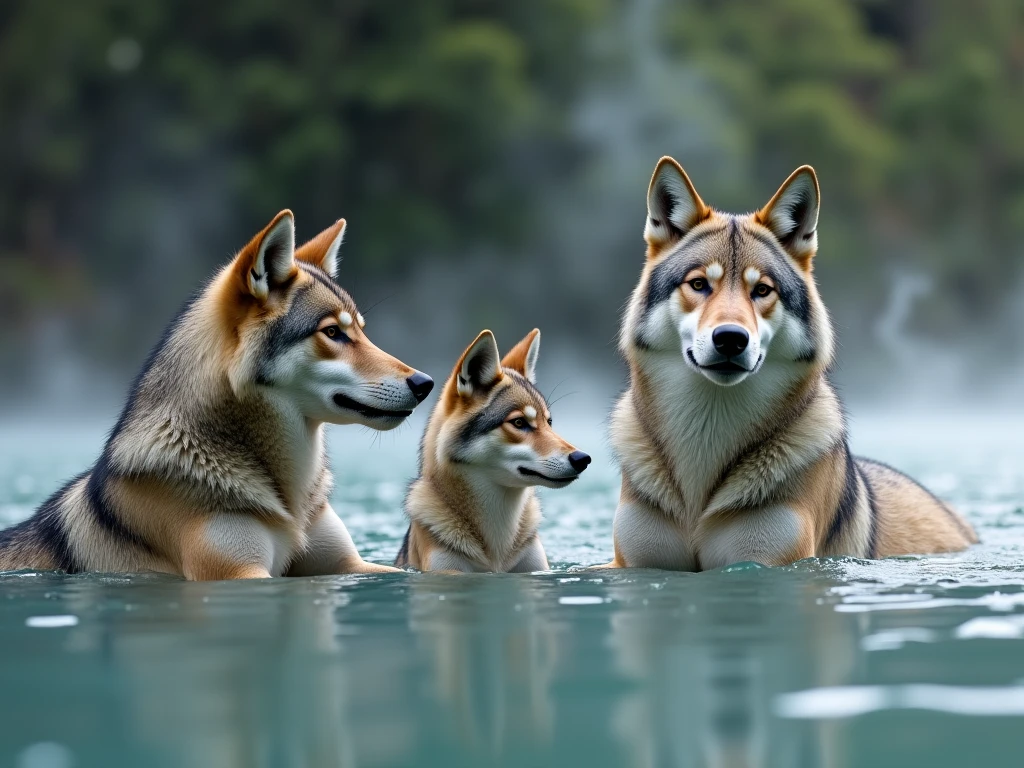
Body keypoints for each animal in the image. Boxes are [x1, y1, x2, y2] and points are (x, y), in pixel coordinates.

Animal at [0, 212, 434, 579]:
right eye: (332, 333)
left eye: (361, 331)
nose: (425, 383)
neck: (286, 499)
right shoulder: (239, 572)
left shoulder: (348, 565)